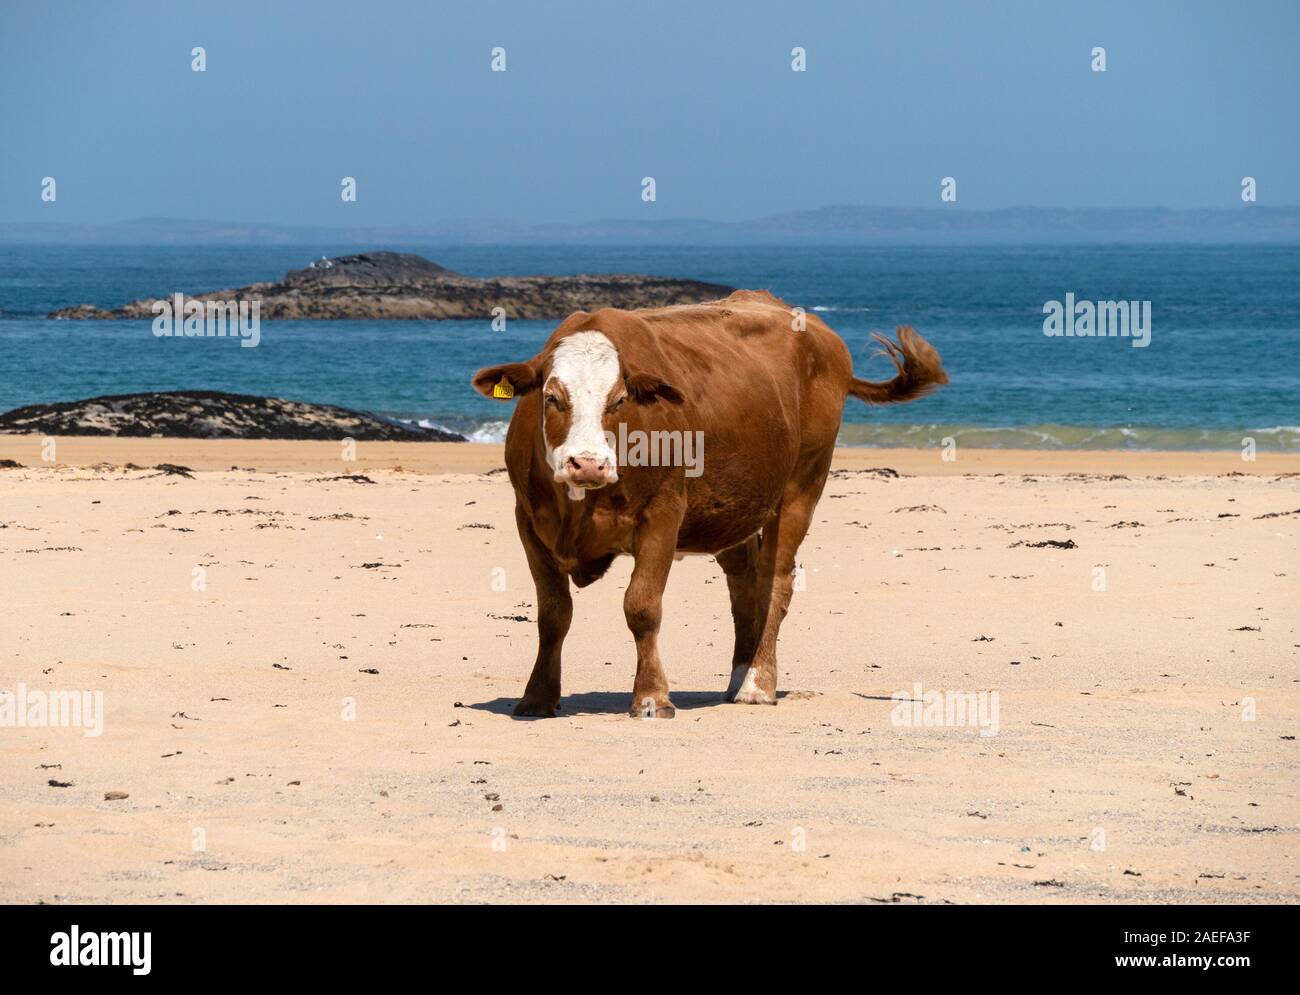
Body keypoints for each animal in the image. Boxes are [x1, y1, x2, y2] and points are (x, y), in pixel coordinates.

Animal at [471, 290, 947, 718]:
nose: (587, 463)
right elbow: (553, 614)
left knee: (776, 581)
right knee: (745, 587)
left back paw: (757, 685)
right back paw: (737, 677)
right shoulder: (529, 522)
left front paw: (651, 697)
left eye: (619, 400)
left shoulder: (663, 514)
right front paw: (537, 697)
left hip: (802, 486)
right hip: (733, 510)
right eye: (552, 397)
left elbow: (641, 606)